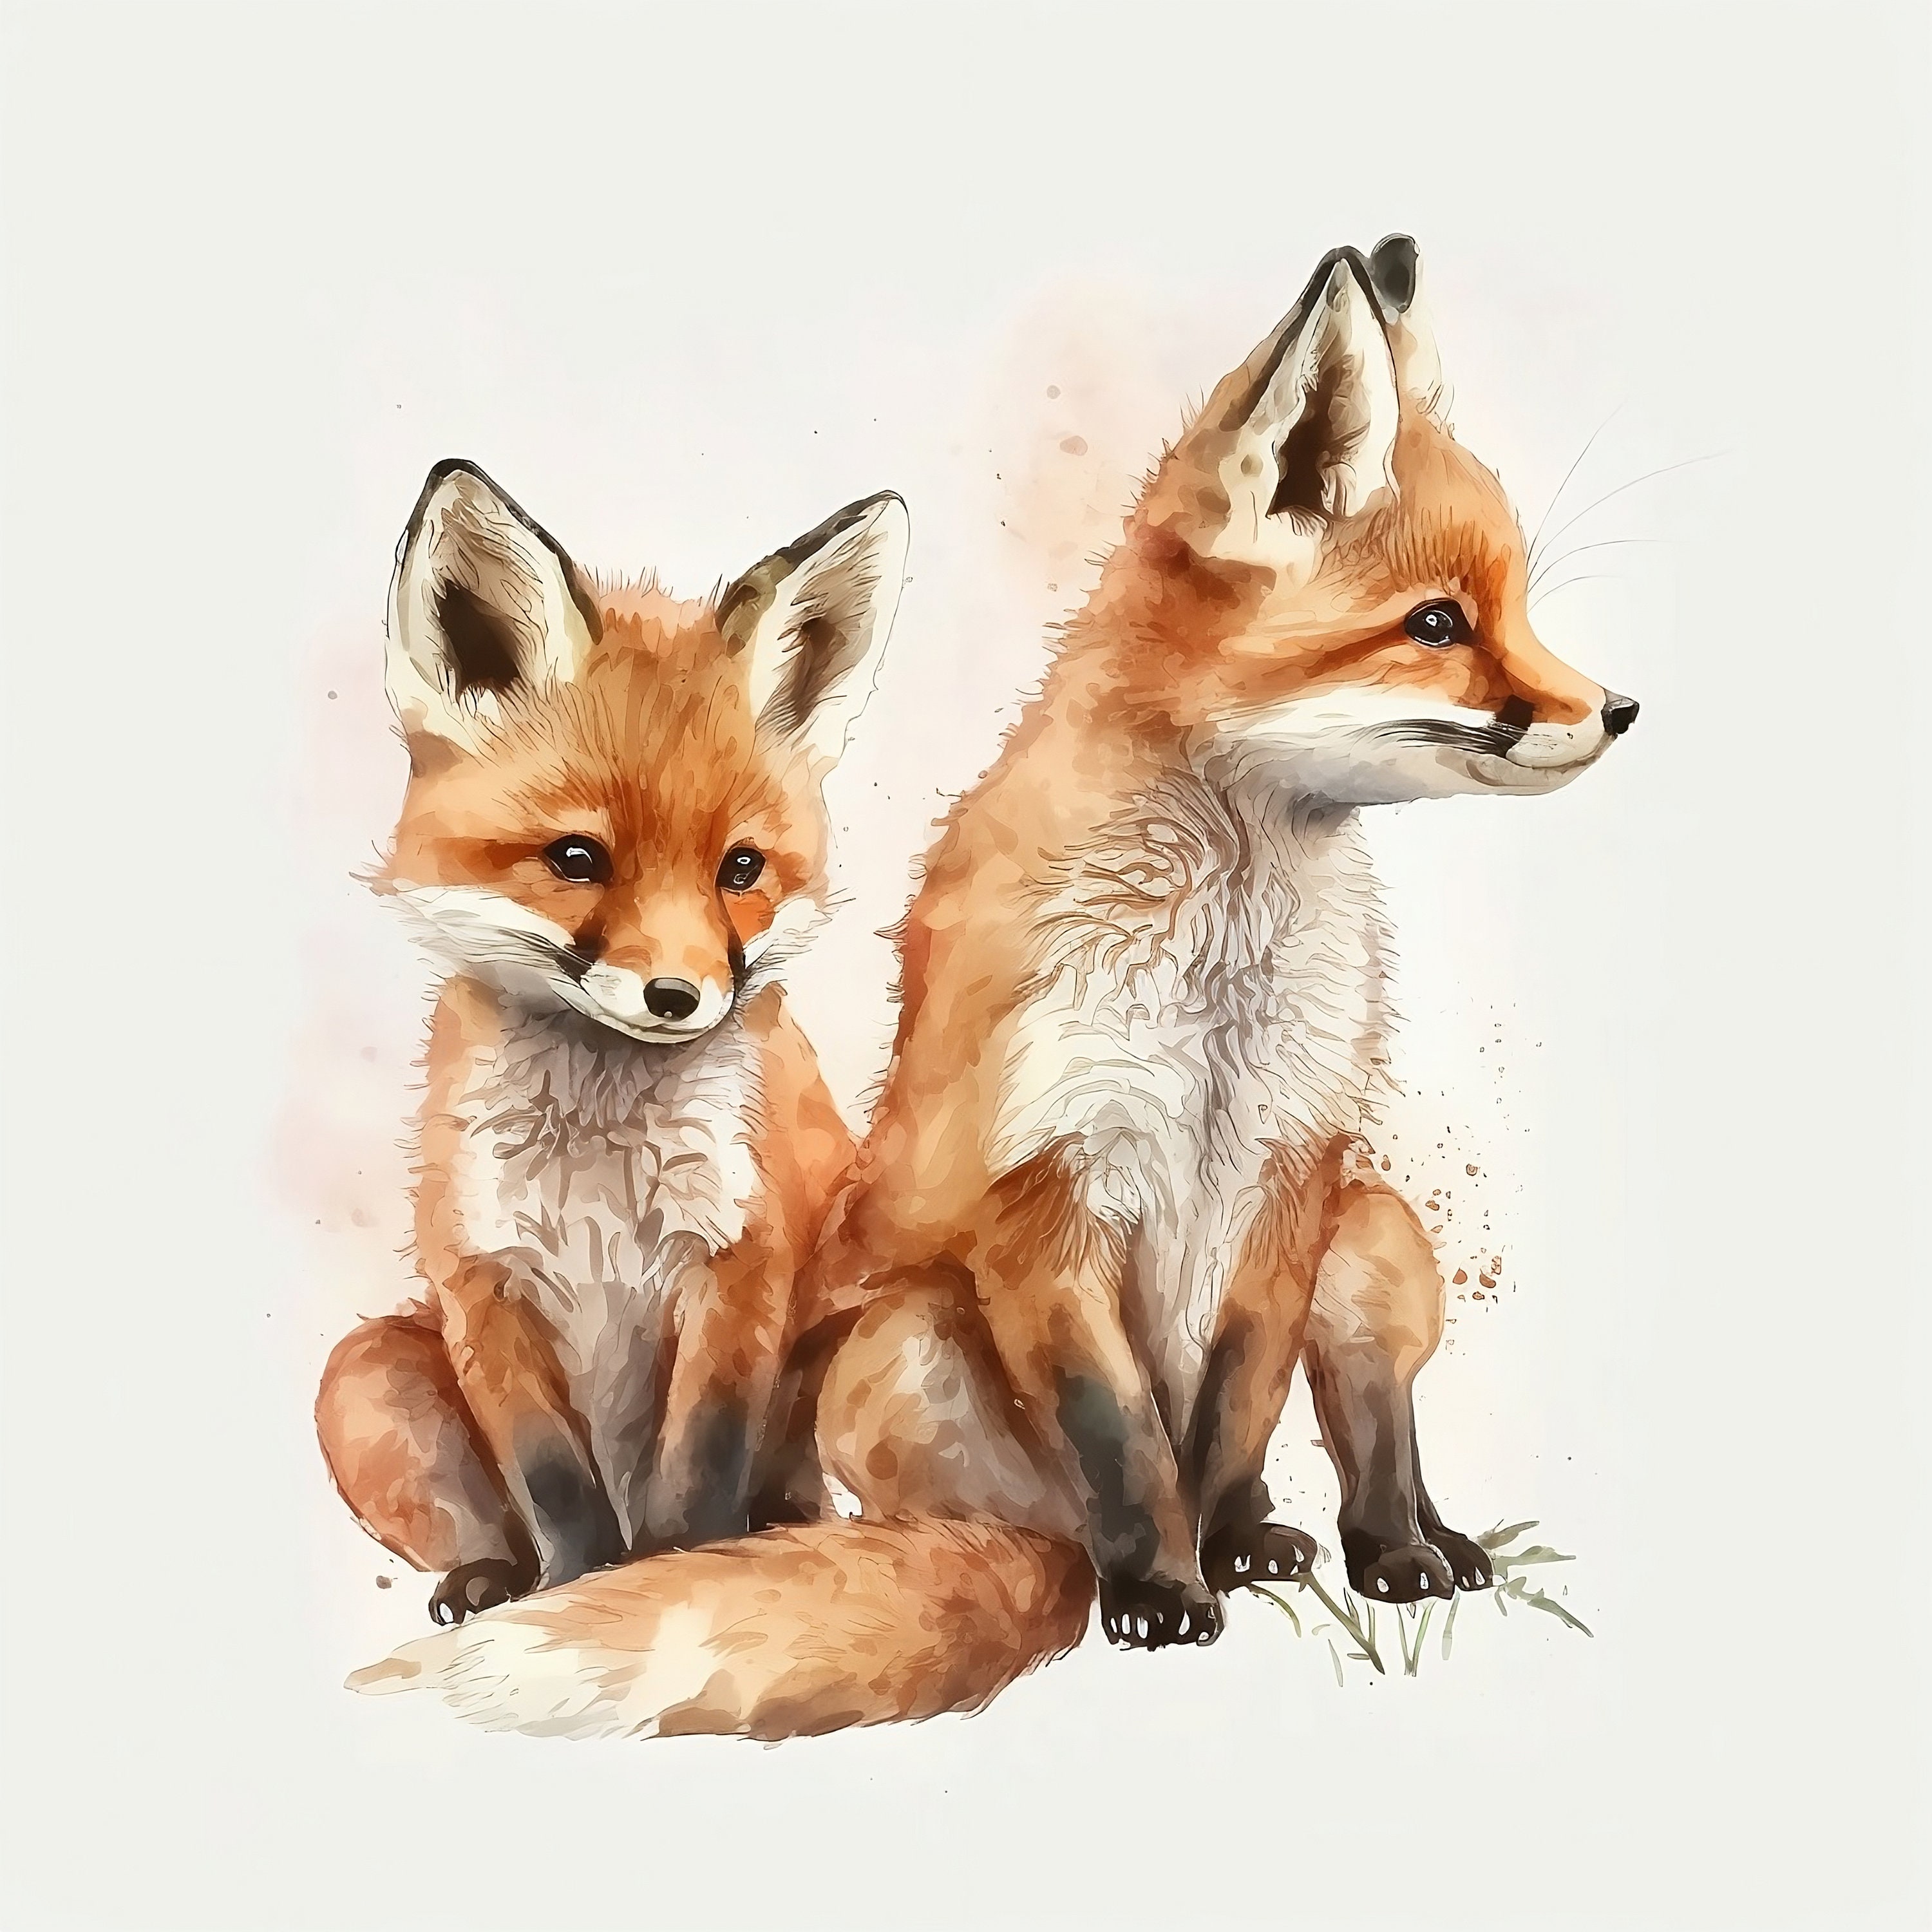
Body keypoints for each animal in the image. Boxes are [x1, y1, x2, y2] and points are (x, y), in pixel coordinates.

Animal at [315, 459, 908, 1624]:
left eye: (739, 869)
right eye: (577, 858)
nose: (678, 995)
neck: (597, 1158)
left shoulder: (736, 1264)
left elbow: (701, 1468)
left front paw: (674, 1576)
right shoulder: (485, 1284)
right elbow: (550, 1482)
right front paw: (579, 1587)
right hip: (363, 1374)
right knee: (482, 1520)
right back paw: (487, 1580)